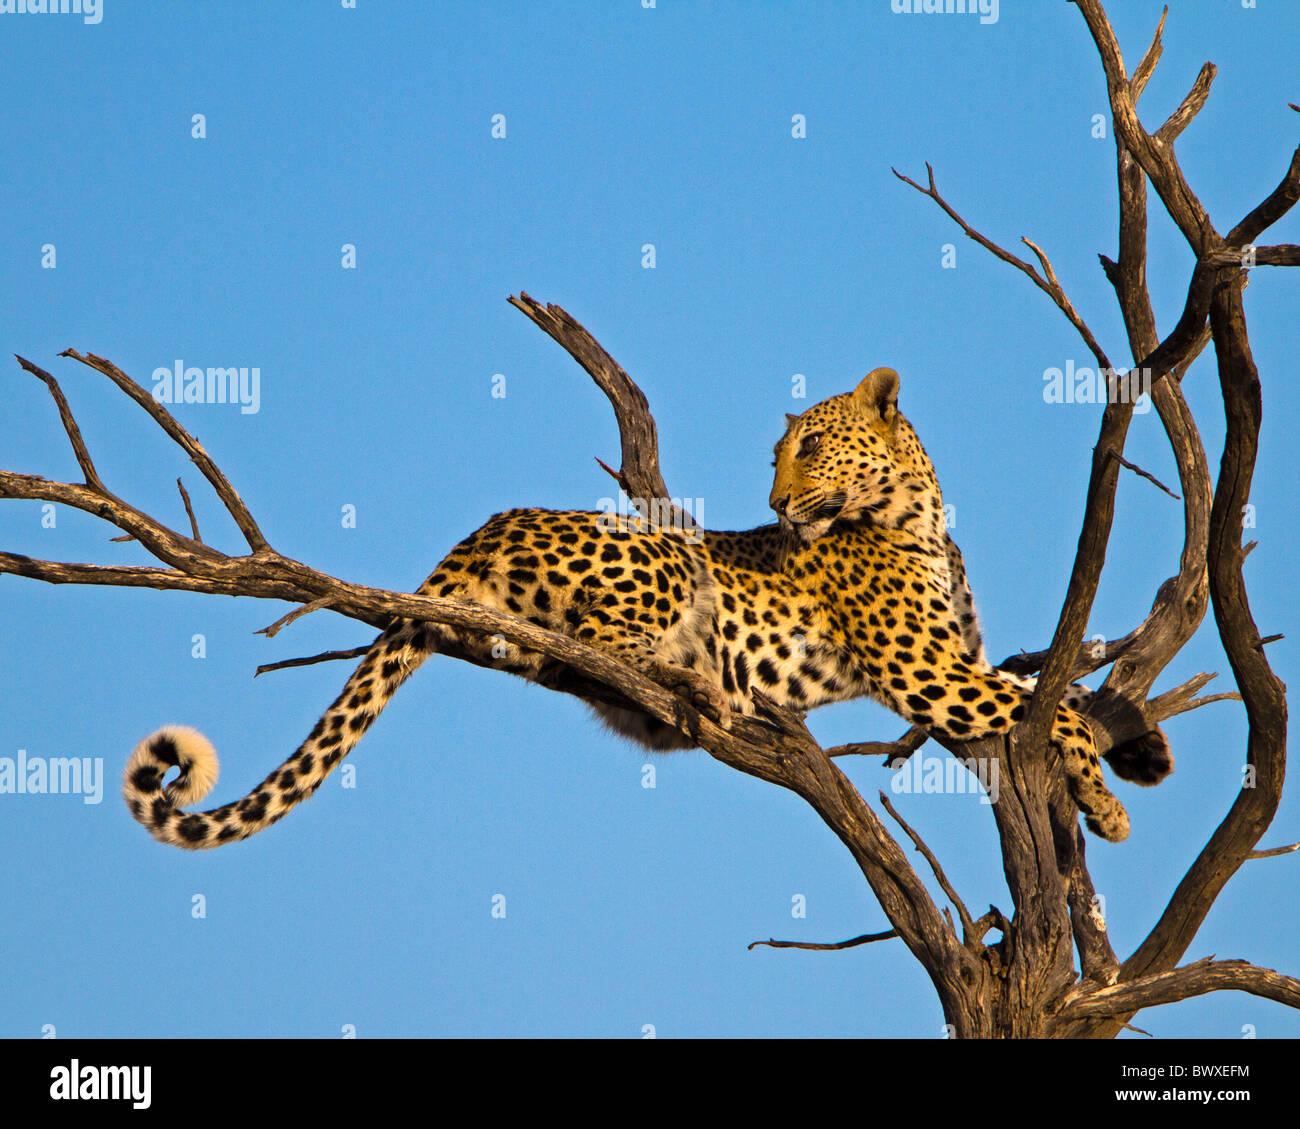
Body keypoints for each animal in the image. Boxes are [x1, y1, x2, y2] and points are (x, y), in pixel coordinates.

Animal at [123, 367, 1172, 849]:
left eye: (811, 446)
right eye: (777, 457)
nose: (778, 504)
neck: (918, 514)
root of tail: (483, 525)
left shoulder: (955, 660)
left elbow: (1037, 691)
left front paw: (1140, 746)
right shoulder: (923, 669)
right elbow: (1046, 704)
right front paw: (1110, 802)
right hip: (661, 554)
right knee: (587, 635)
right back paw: (702, 683)